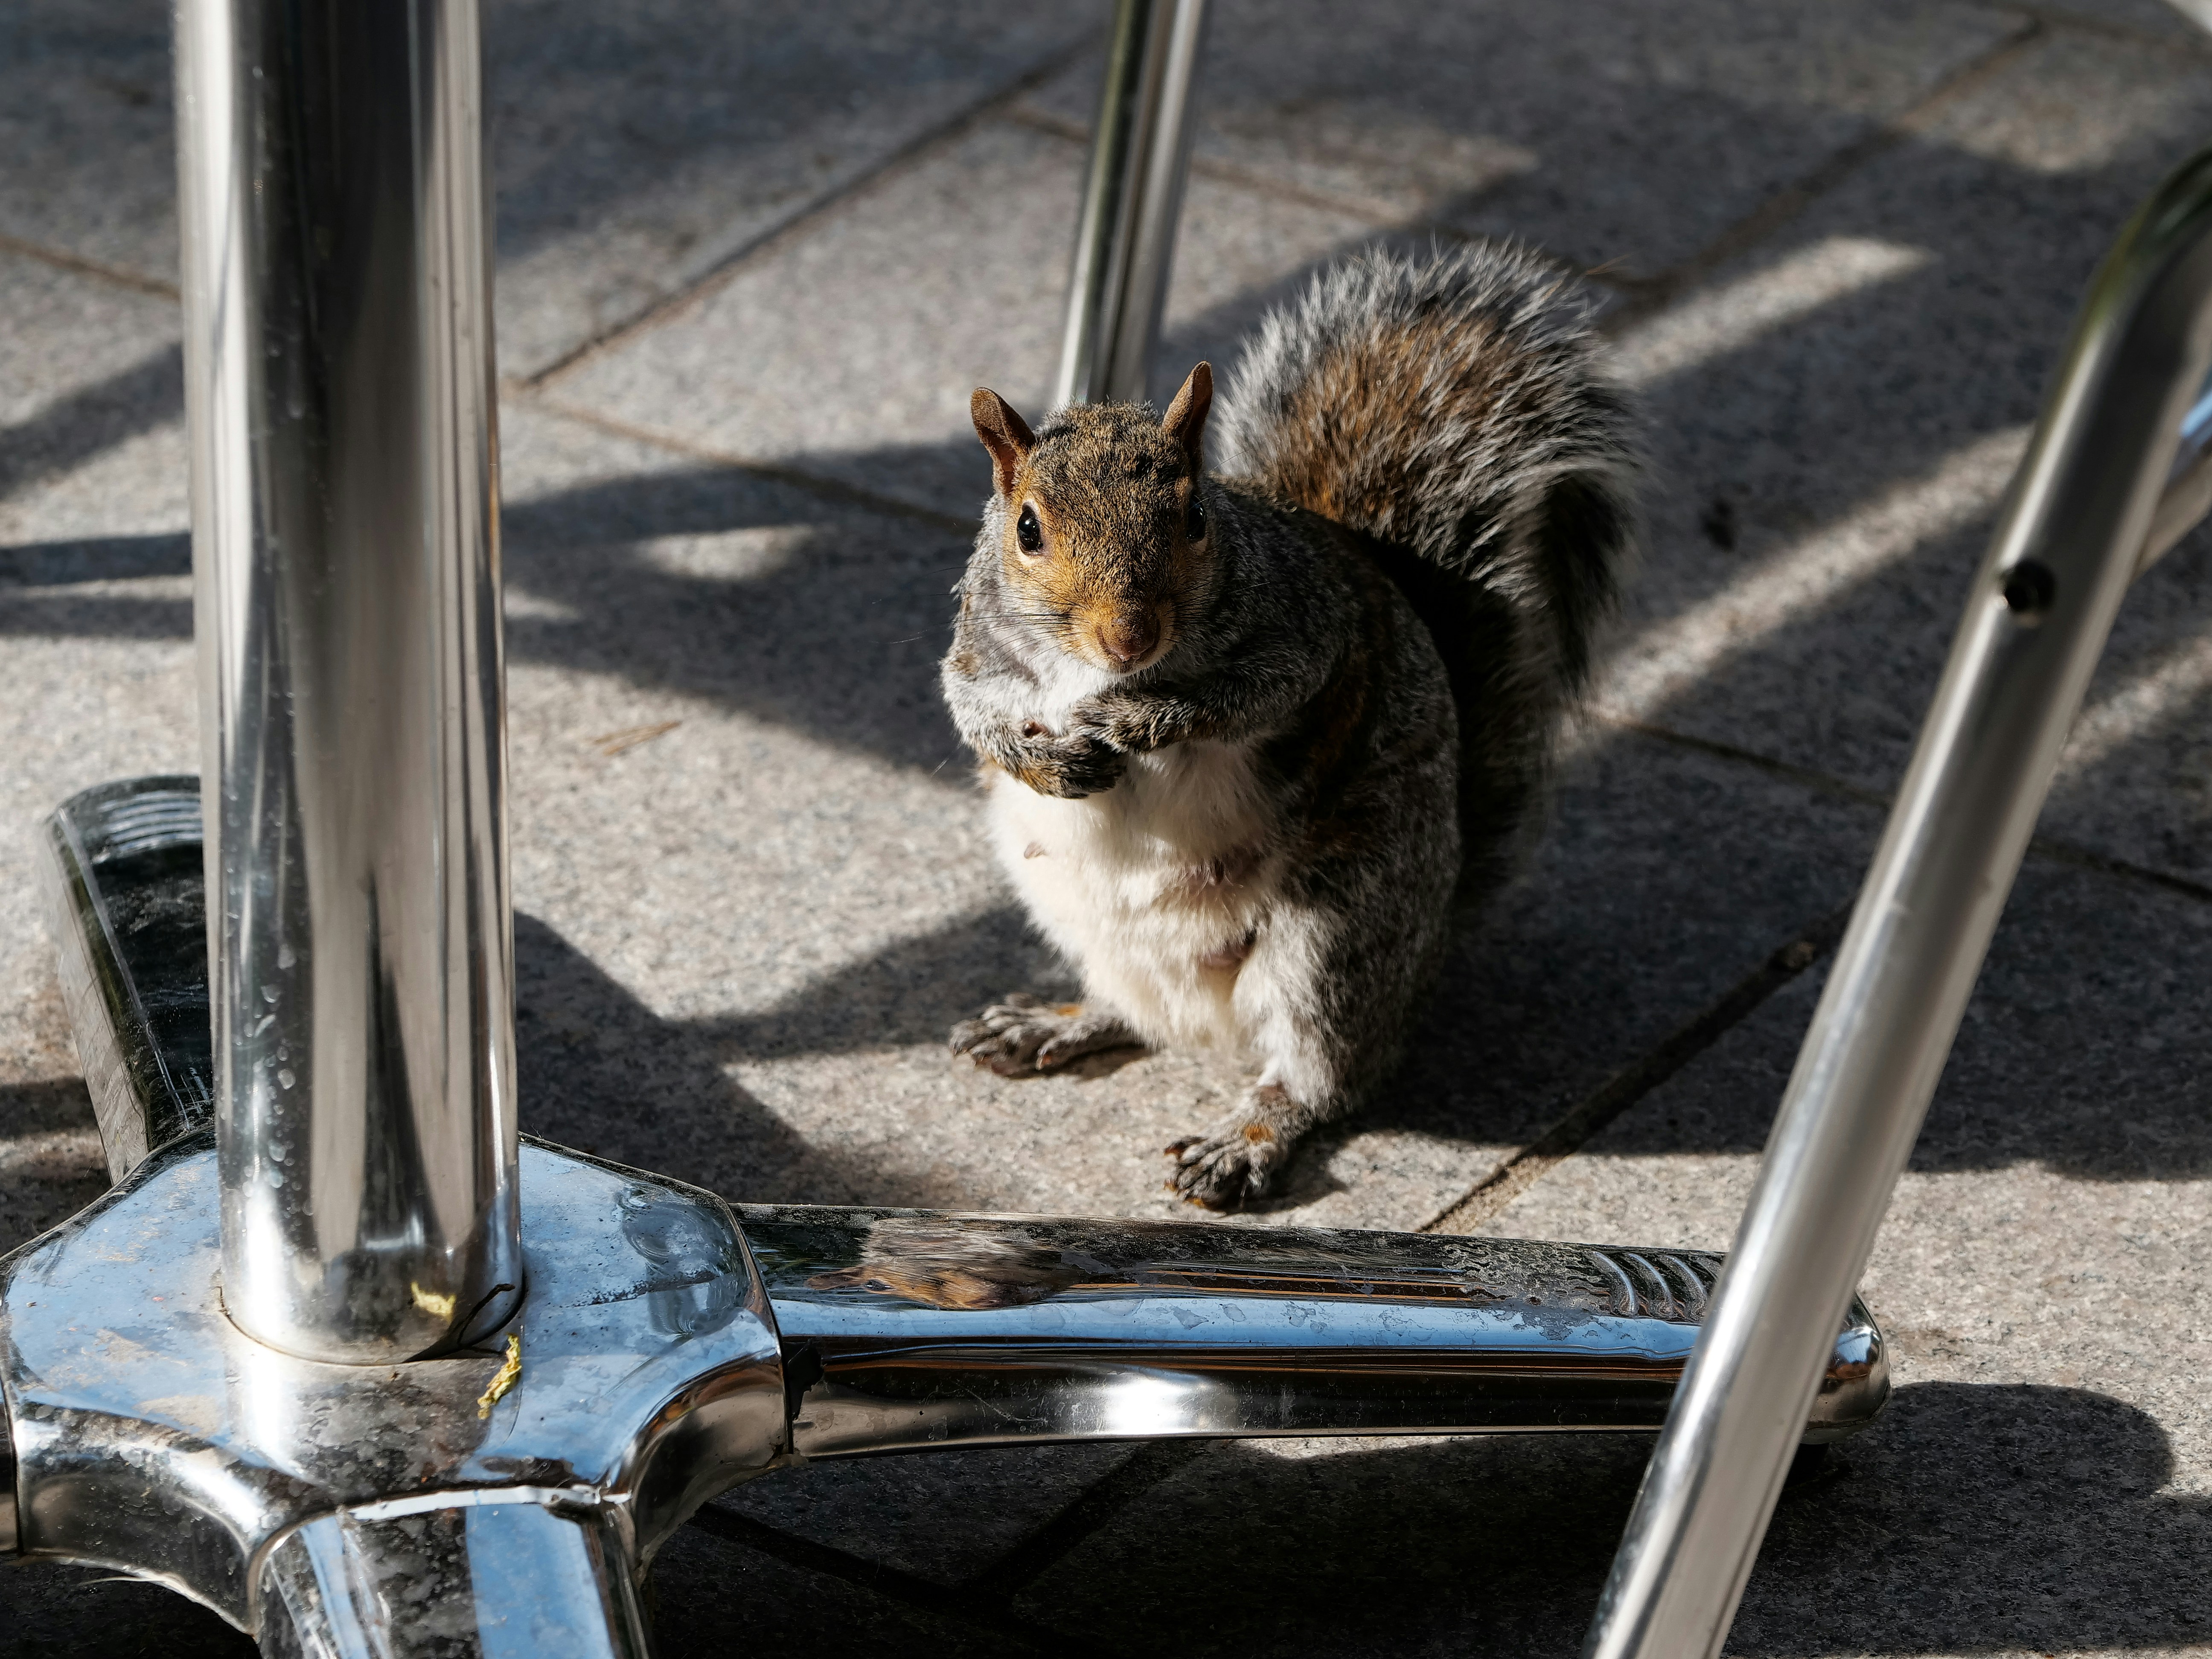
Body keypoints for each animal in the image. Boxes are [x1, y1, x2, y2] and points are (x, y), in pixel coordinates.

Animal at [941, 242, 1637, 1210]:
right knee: (1139, 1014)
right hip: (1083, 921)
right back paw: (1052, 1021)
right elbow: (970, 711)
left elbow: (1250, 693)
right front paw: (1049, 762)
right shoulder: (978, 652)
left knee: (1316, 1077)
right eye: (1028, 529)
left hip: (1336, 930)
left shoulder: (1311, 633)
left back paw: (1241, 1142)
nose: (1129, 635)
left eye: (1195, 517)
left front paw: (1148, 716)